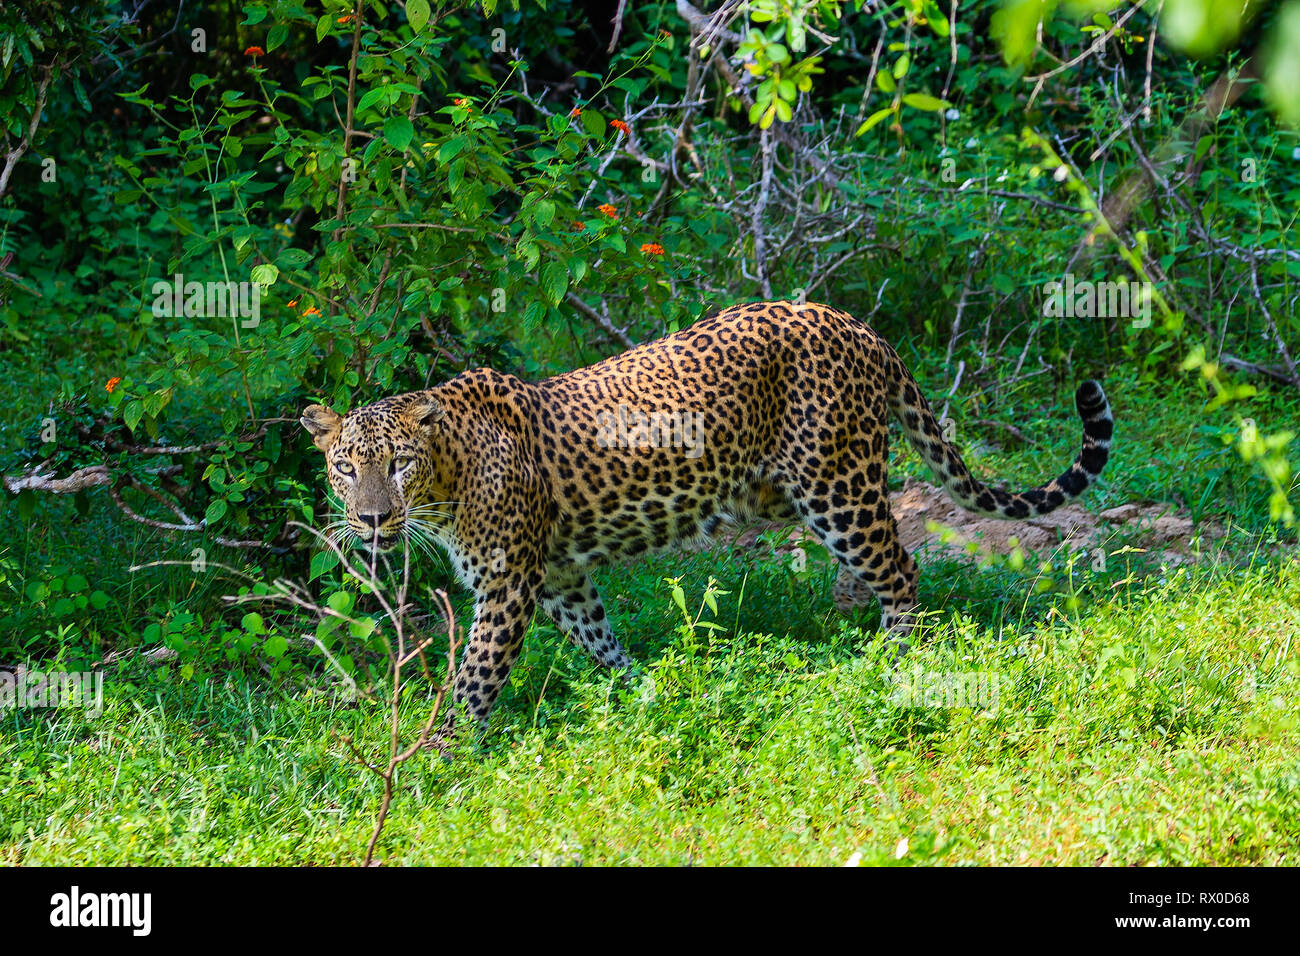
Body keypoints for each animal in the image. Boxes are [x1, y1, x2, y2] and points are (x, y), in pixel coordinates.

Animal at [301, 300, 1112, 741]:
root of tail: (859, 327)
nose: (370, 520)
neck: (446, 475)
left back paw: (885, 663)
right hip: (795, 491)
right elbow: (601, 641)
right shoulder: (560, 578)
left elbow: (475, 675)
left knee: (901, 566)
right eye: (344, 467)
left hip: (834, 484)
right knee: (872, 561)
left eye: (398, 463)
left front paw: (440, 755)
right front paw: (645, 695)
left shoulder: (508, 583)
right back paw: (845, 634)